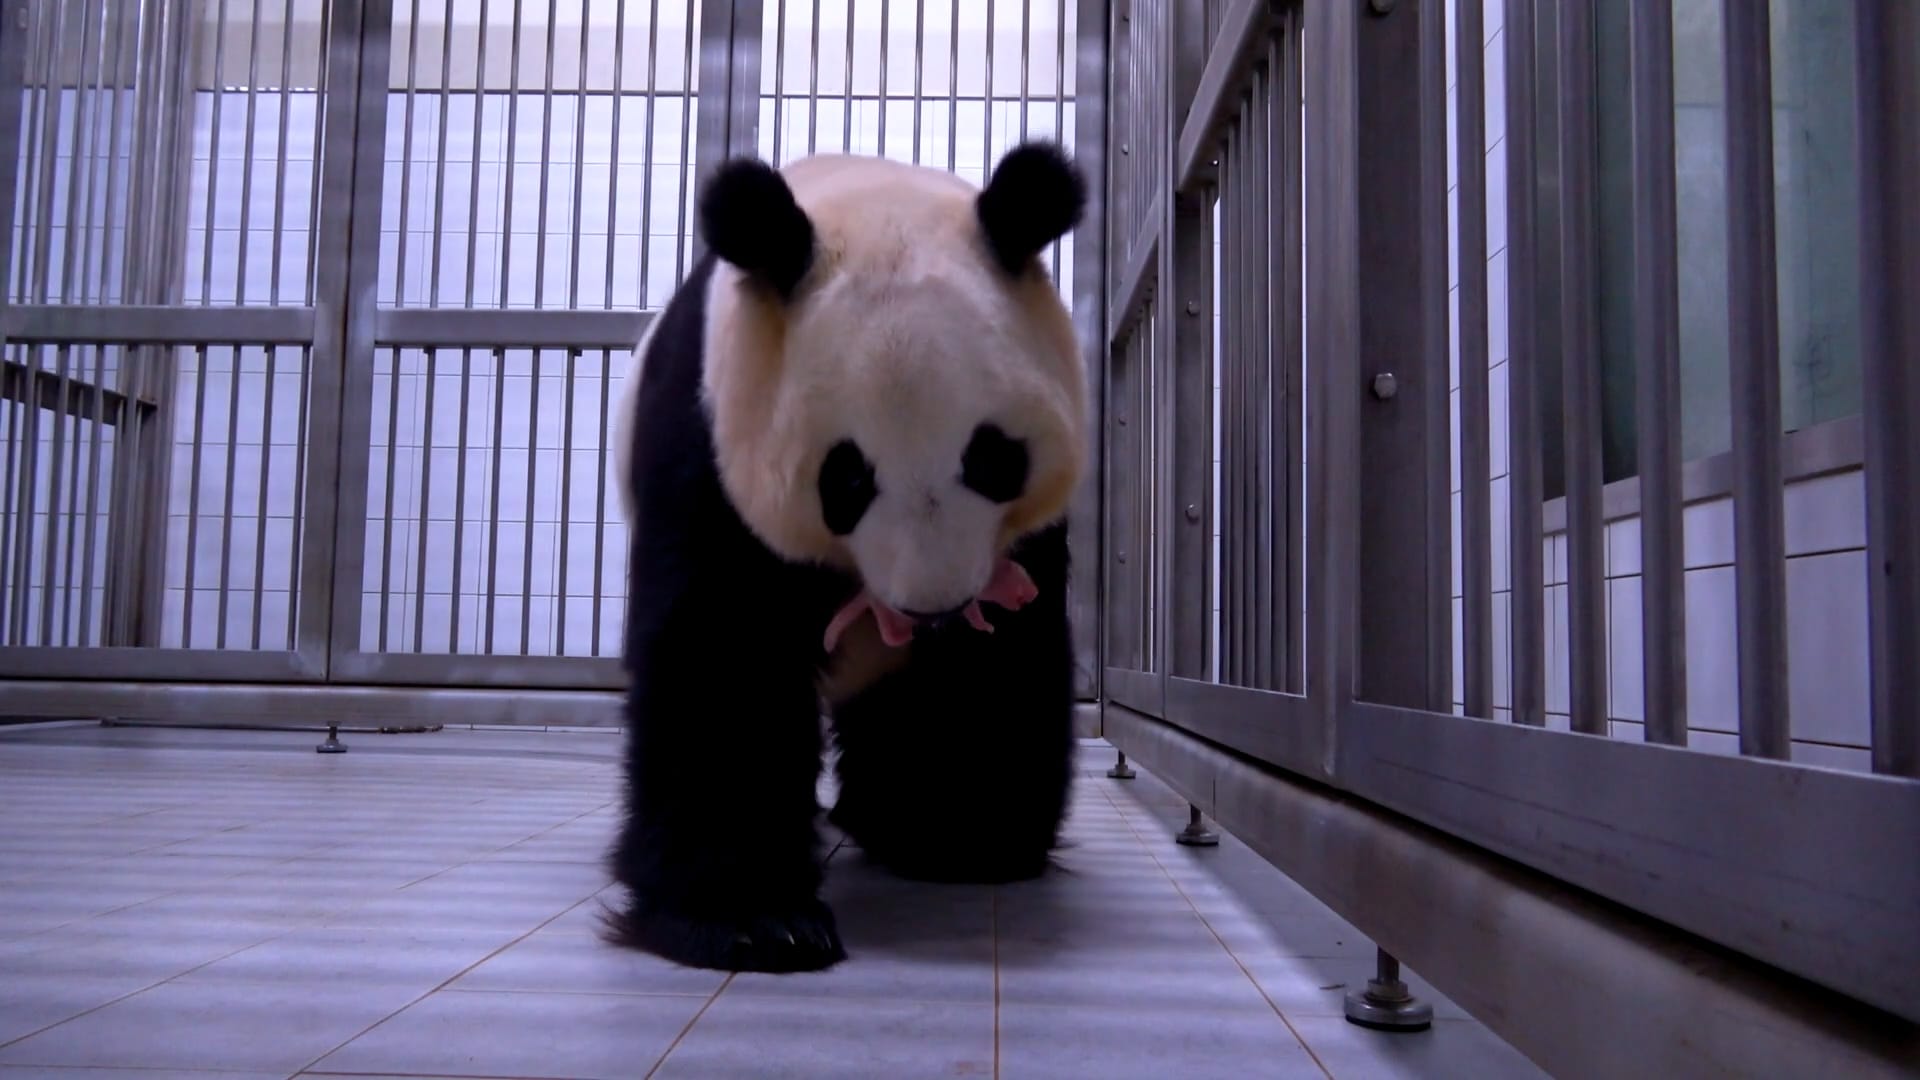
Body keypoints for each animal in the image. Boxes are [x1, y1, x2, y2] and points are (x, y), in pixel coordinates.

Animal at [601, 141, 1090, 975]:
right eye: (847, 478)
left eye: (991, 458)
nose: (932, 607)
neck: (868, 197)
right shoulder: (709, 431)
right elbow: (720, 658)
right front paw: (752, 919)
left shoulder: (1018, 546)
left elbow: (992, 668)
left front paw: (966, 834)